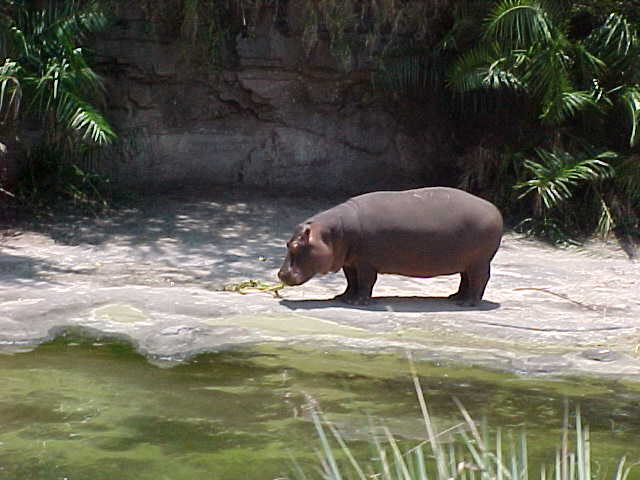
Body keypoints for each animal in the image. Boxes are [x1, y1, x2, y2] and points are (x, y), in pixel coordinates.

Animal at [277, 187, 503, 306]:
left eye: (296, 245)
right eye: (287, 243)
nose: (280, 274)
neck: (333, 233)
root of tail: (495, 210)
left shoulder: (366, 263)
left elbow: (365, 282)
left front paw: (358, 302)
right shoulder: (350, 262)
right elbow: (351, 281)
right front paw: (343, 298)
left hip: (479, 261)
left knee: (480, 279)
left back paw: (468, 303)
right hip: (467, 262)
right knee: (466, 279)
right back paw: (455, 297)